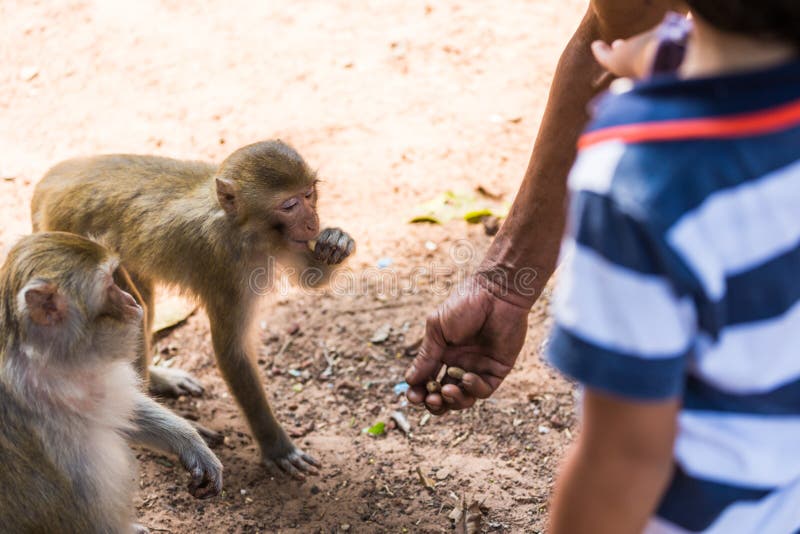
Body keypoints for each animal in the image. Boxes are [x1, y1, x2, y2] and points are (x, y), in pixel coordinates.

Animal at [31, 140, 356, 478]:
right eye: (289, 205)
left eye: (309, 194)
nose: (312, 222)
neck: (240, 226)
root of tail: (49, 183)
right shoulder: (225, 266)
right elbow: (232, 352)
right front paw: (278, 448)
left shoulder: (285, 240)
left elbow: (312, 279)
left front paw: (337, 241)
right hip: (78, 247)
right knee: (133, 310)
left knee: (141, 300)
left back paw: (157, 379)